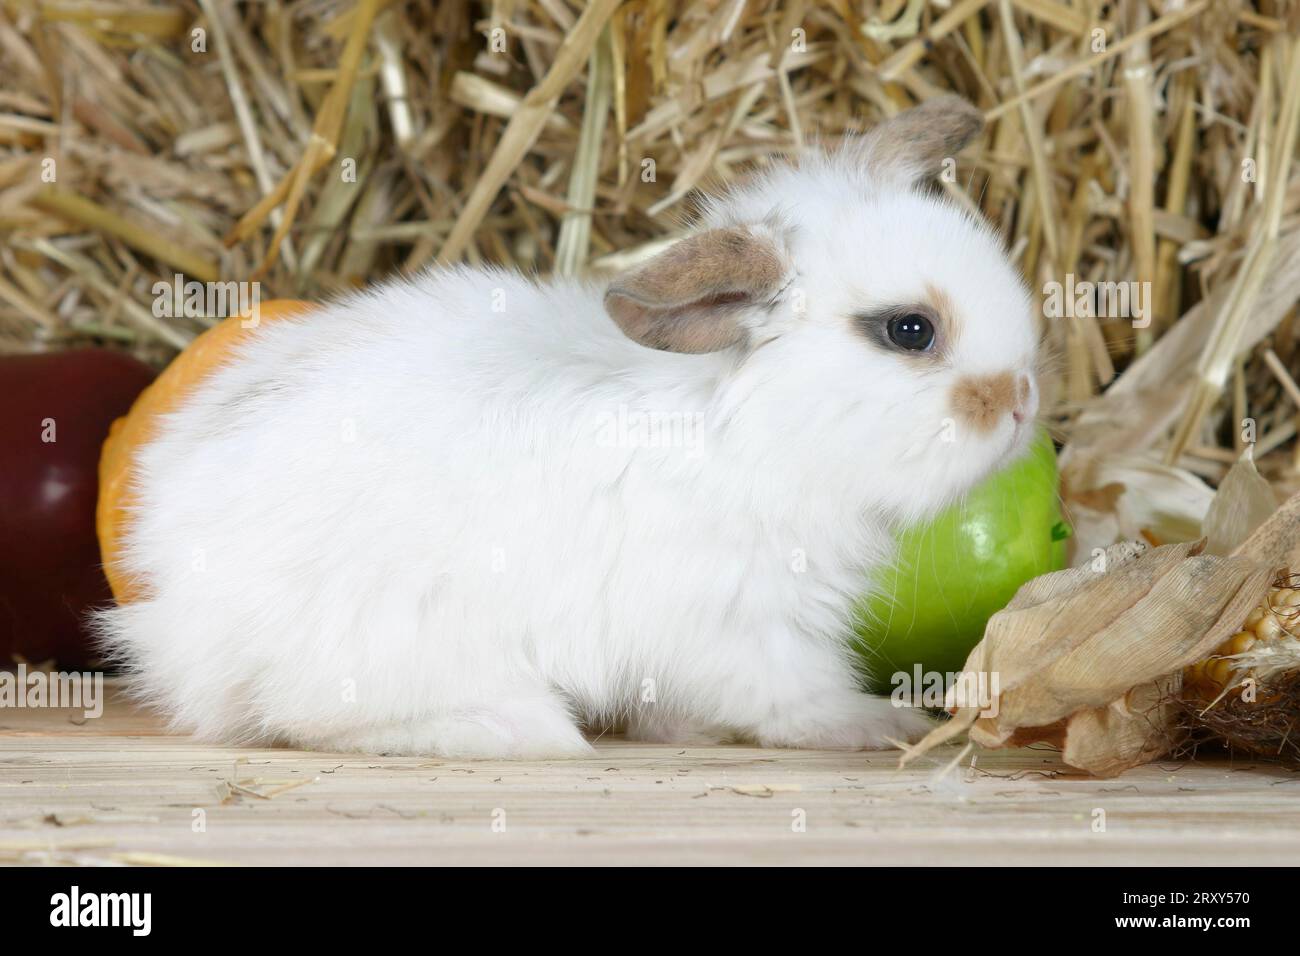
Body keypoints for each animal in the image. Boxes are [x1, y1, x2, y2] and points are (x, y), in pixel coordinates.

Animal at [97, 95, 1040, 759]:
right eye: (908, 330)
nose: (1023, 398)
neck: (743, 431)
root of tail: (171, 600)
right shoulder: (742, 624)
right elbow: (790, 700)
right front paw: (877, 724)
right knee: (301, 714)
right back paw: (514, 729)